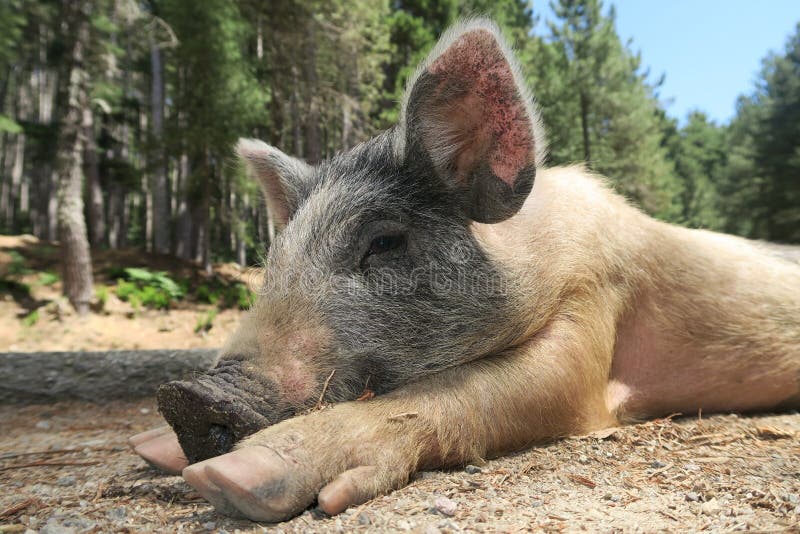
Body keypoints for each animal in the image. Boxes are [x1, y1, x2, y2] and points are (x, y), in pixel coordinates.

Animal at [130, 18, 800, 522]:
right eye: (276, 255)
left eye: (384, 242)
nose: (188, 395)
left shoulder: (595, 307)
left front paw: (230, 478)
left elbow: (487, 387)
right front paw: (152, 449)